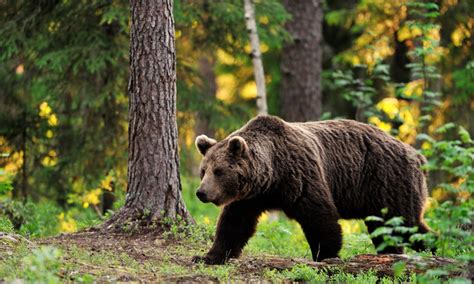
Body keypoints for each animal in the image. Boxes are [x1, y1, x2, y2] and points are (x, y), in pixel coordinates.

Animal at [191, 115, 432, 264]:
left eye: (219, 171)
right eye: (203, 171)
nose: (201, 193)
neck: (272, 176)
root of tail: (416, 155)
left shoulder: (301, 177)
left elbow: (320, 218)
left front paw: (324, 255)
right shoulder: (250, 197)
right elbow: (234, 225)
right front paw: (208, 257)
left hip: (387, 181)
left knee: (404, 225)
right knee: (388, 231)